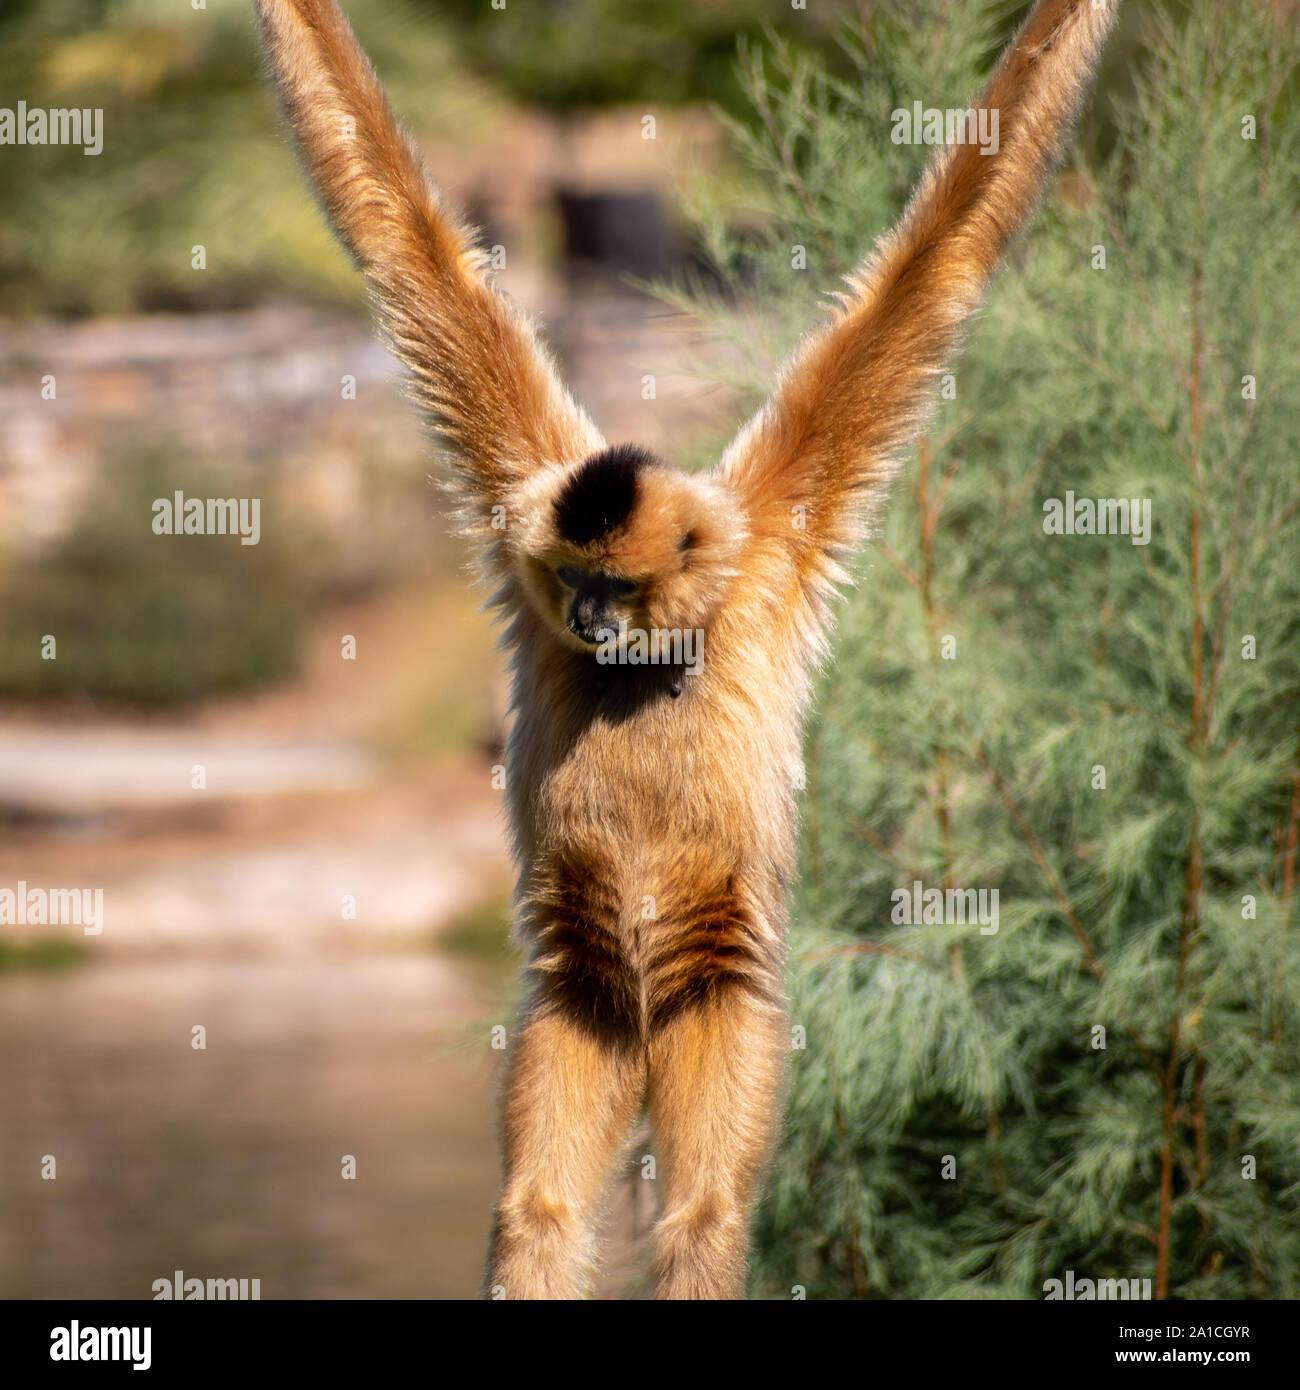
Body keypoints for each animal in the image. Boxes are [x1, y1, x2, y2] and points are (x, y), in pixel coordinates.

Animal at [254, 0, 1119, 1299]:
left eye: (615, 585)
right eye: (573, 583)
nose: (587, 621)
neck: (666, 644)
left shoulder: (770, 542)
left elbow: (938, 263)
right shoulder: (524, 504)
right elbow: (400, 240)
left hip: (723, 1003)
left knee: (702, 1208)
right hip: (580, 1007)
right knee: (541, 1205)